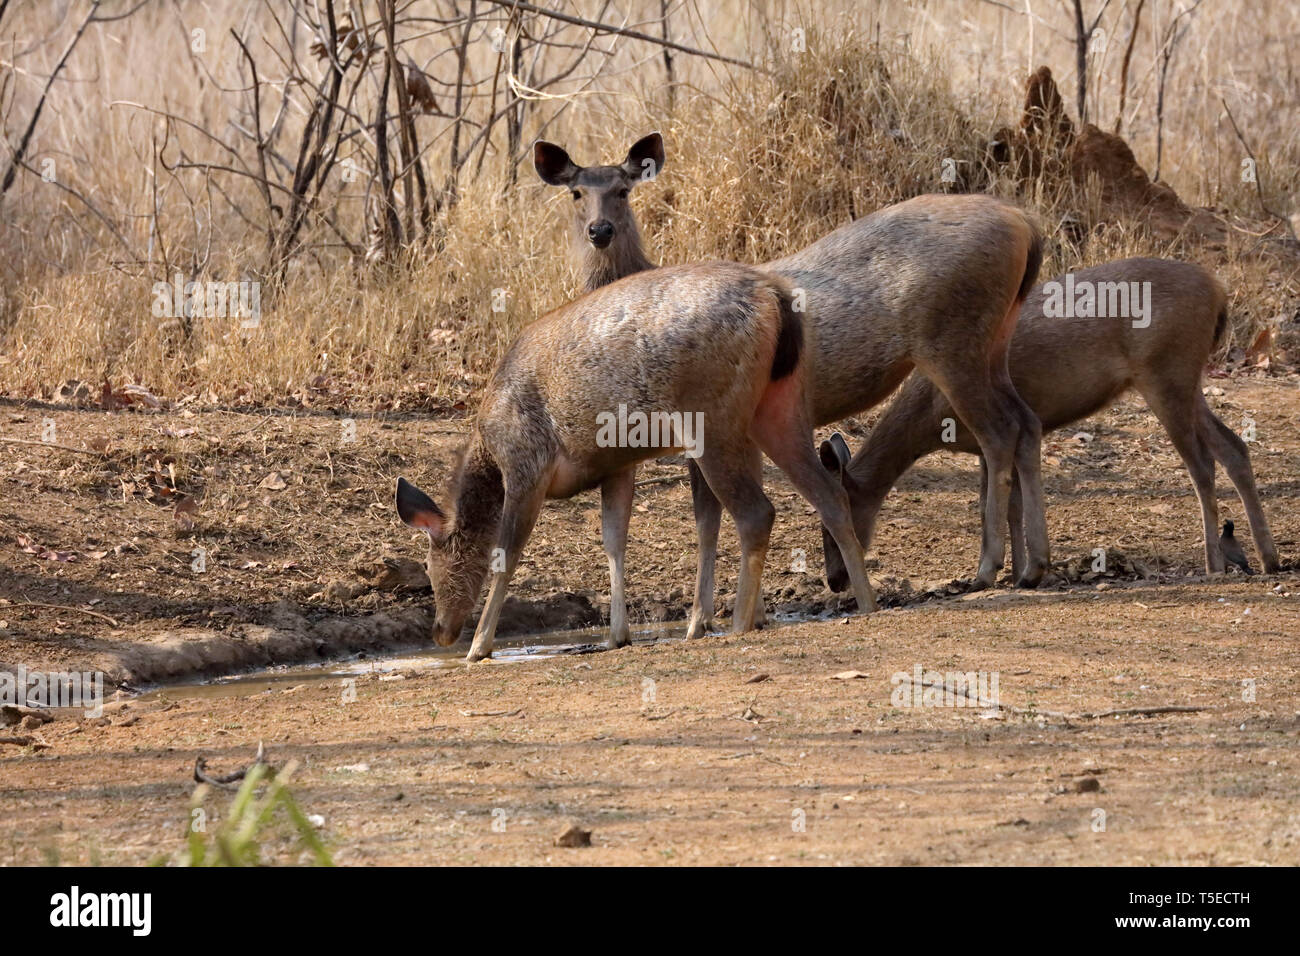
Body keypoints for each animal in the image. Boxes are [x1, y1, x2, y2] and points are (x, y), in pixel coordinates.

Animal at [395, 261, 875, 662]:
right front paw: (617, 634)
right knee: (828, 494)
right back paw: (865, 602)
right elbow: (613, 540)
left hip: (710, 417)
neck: (488, 450)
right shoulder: (616, 464)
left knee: (758, 511)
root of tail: (775, 298)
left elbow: (506, 553)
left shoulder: (526, 464)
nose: (441, 631)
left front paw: (480, 646)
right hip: (779, 404)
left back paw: (741, 623)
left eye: (431, 568)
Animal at [535, 134, 1048, 639]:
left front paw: (703, 620)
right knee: (1027, 421)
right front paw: (746, 614)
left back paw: (988, 567)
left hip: (952, 341)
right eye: (575, 192)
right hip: (995, 339)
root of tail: (1026, 225)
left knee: (998, 431)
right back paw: (1032, 565)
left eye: (623, 190)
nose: (600, 230)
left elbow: (708, 520)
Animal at [817, 257, 1281, 592]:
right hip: (1187, 379)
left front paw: (1003, 571)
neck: (928, 418)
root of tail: (1219, 294)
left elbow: (994, 502)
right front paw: (1018, 570)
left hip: (1166, 371)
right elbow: (1010, 504)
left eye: (829, 527)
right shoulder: (981, 446)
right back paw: (1268, 558)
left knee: (1201, 463)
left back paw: (1214, 563)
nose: (836, 581)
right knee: (1234, 446)